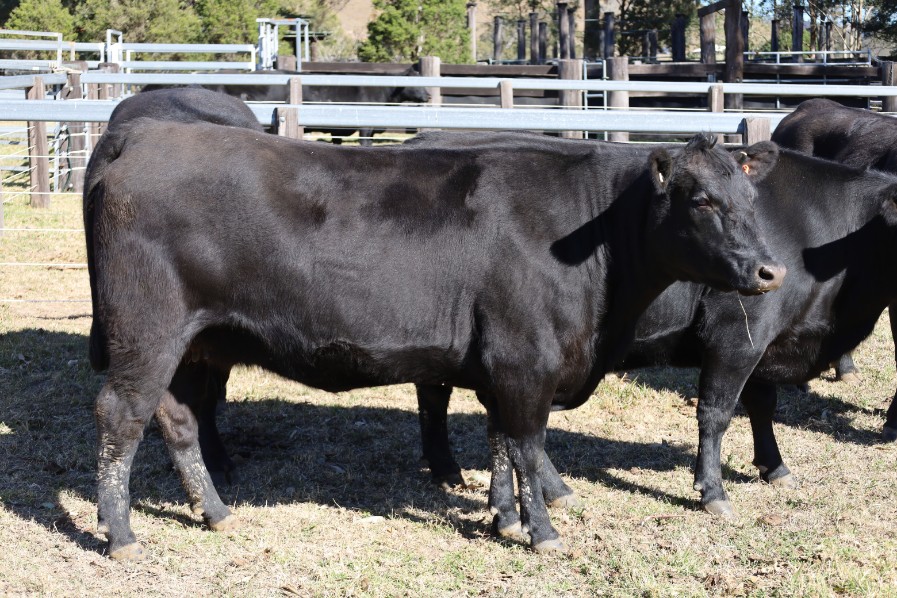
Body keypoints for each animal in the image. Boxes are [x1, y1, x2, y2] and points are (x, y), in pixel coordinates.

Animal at [84, 123, 783, 560]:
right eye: (700, 199)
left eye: (751, 196)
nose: (769, 270)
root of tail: (143, 134)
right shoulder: (525, 360)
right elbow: (527, 443)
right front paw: (541, 531)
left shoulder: (502, 363)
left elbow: (502, 443)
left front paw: (504, 515)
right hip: (146, 333)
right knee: (120, 417)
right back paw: (121, 534)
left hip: (193, 343)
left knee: (176, 419)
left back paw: (216, 511)